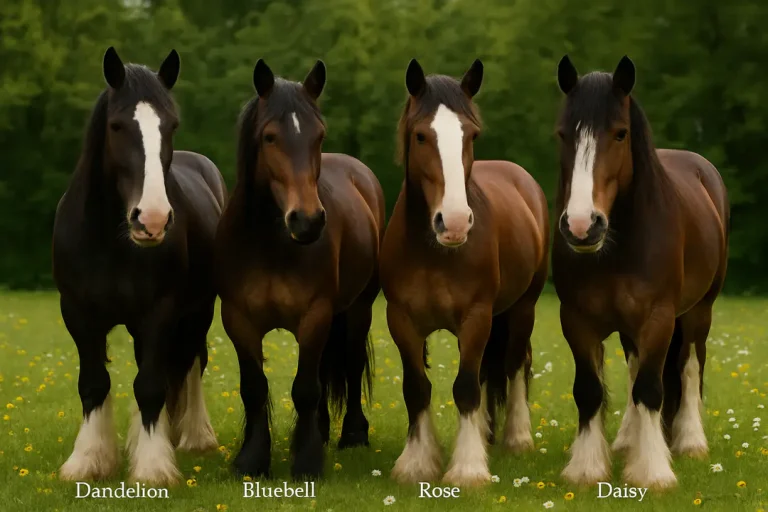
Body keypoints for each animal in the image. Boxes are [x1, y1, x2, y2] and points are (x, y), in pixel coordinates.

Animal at [53, 47, 226, 485]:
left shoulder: (159, 312)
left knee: (193, 362)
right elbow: (93, 383)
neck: (108, 240)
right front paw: (89, 459)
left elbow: (149, 384)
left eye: (171, 125)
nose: (152, 219)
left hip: (198, 311)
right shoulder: (77, 313)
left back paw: (195, 435)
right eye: (116, 126)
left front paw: (152, 467)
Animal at [215, 59, 385, 480]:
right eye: (270, 137)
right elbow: (254, 388)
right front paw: (252, 459)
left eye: (318, 136)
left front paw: (307, 461)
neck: (270, 243)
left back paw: (352, 433)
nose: (307, 221)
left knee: (350, 364)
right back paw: (321, 429)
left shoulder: (315, 315)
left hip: (359, 308)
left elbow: (305, 388)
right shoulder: (238, 319)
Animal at [381, 59, 550, 487]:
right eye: (421, 136)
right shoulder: (402, 320)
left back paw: (516, 437)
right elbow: (417, 388)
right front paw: (417, 462)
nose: (454, 222)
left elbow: (466, 389)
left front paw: (469, 468)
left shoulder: (476, 317)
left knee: (514, 363)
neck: (434, 253)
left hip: (523, 308)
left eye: (471, 134)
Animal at [553, 55, 729, 489]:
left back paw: (690, 441)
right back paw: (626, 441)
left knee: (689, 366)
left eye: (620, 134)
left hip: (699, 311)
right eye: (563, 134)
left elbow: (651, 387)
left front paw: (652, 471)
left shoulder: (658, 317)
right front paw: (587, 467)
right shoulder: (576, 319)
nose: (582, 225)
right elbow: (590, 390)